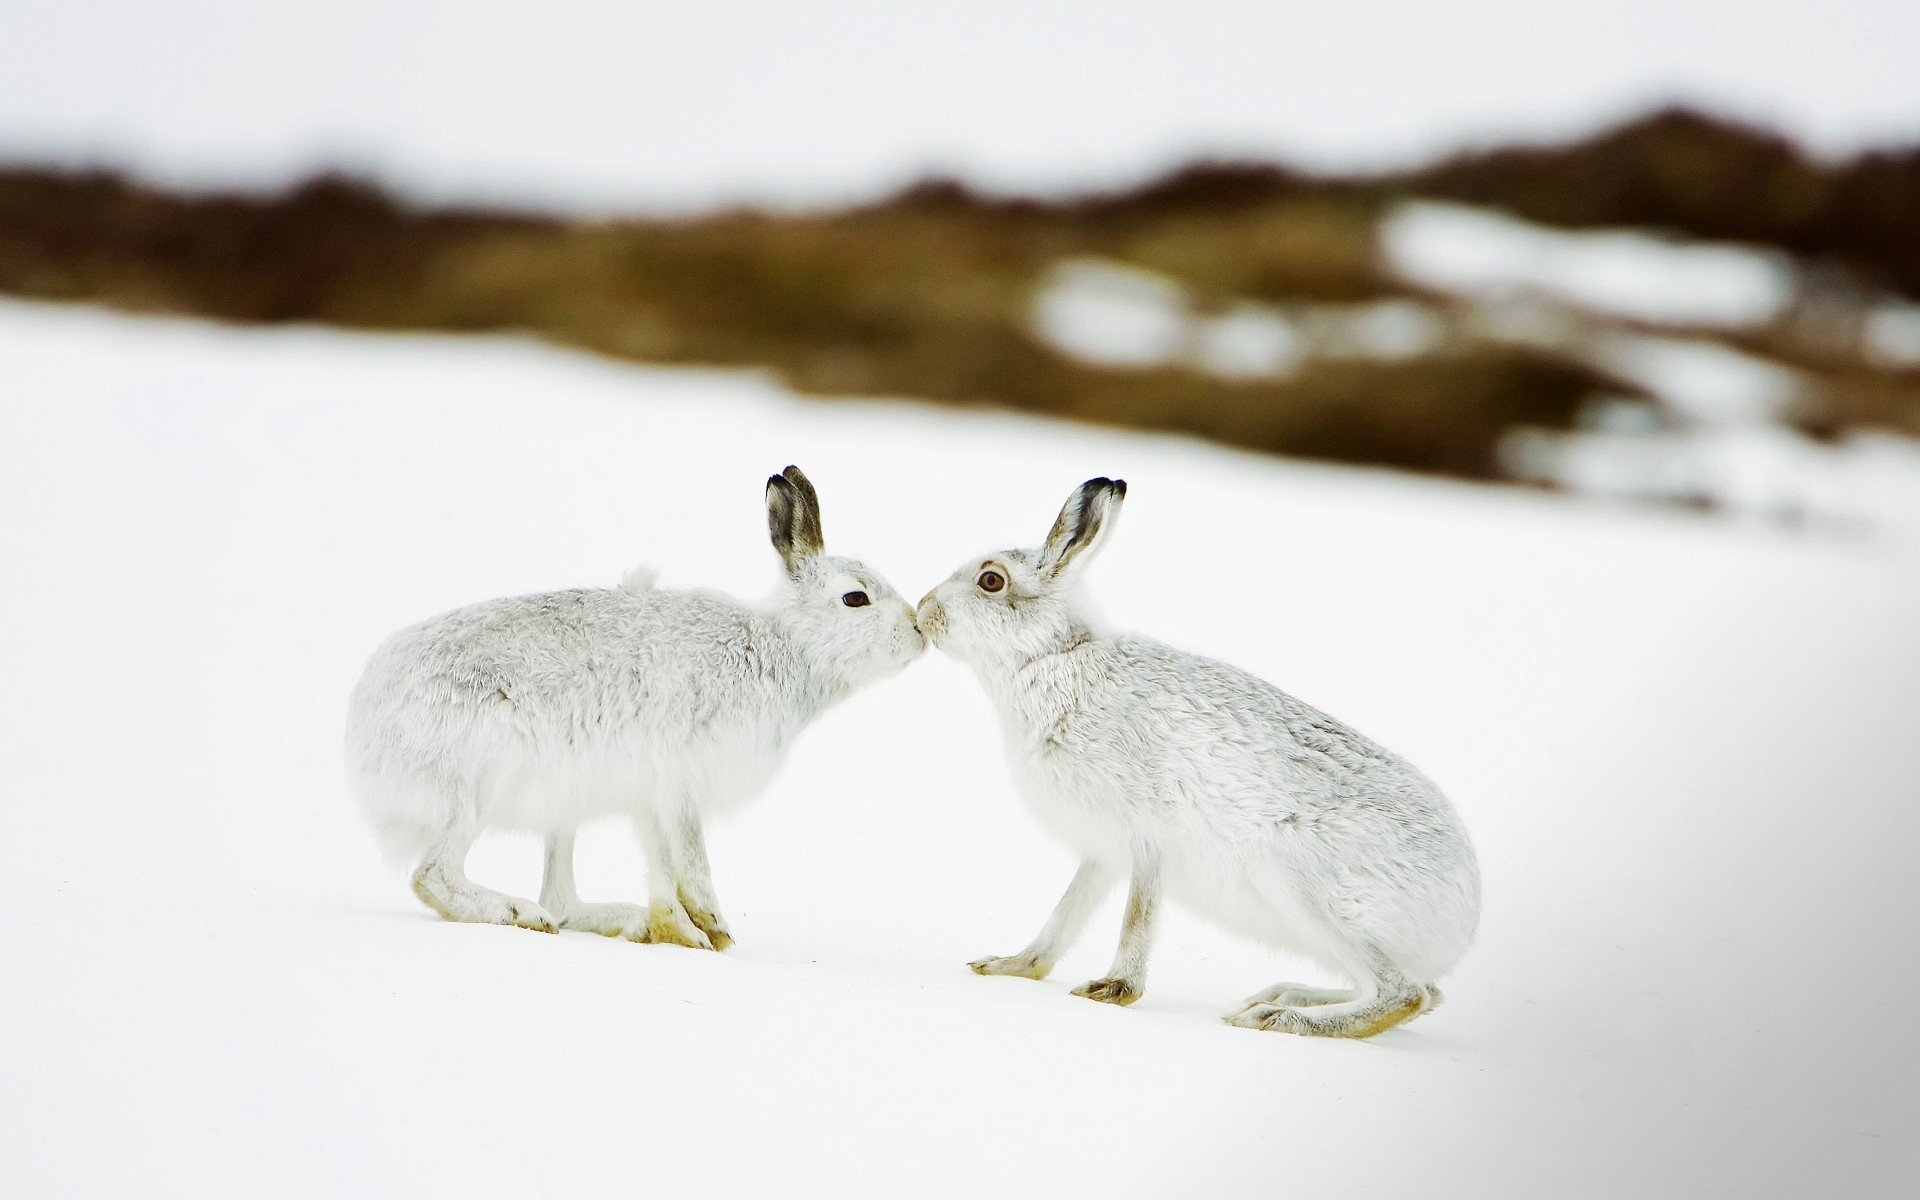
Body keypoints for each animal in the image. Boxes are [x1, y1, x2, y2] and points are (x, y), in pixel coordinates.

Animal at [345, 465, 924, 948]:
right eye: (856, 598)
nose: (918, 632)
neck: (784, 646)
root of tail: (363, 745)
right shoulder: (679, 781)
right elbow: (691, 859)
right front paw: (714, 932)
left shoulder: (651, 795)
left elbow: (663, 862)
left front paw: (680, 930)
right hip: (479, 783)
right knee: (434, 877)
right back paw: (519, 913)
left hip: (562, 808)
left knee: (562, 897)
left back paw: (624, 921)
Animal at [915, 478, 1479, 1037]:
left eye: (991, 581)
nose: (923, 612)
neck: (1055, 655)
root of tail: (1464, 916)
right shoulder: (1102, 848)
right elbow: (1065, 911)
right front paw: (1009, 965)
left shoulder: (1146, 837)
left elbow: (1137, 915)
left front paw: (1112, 991)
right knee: (1423, 994)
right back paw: (1280, 995)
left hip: (1299, 882)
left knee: (1404, 993)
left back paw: (1279, 1018)